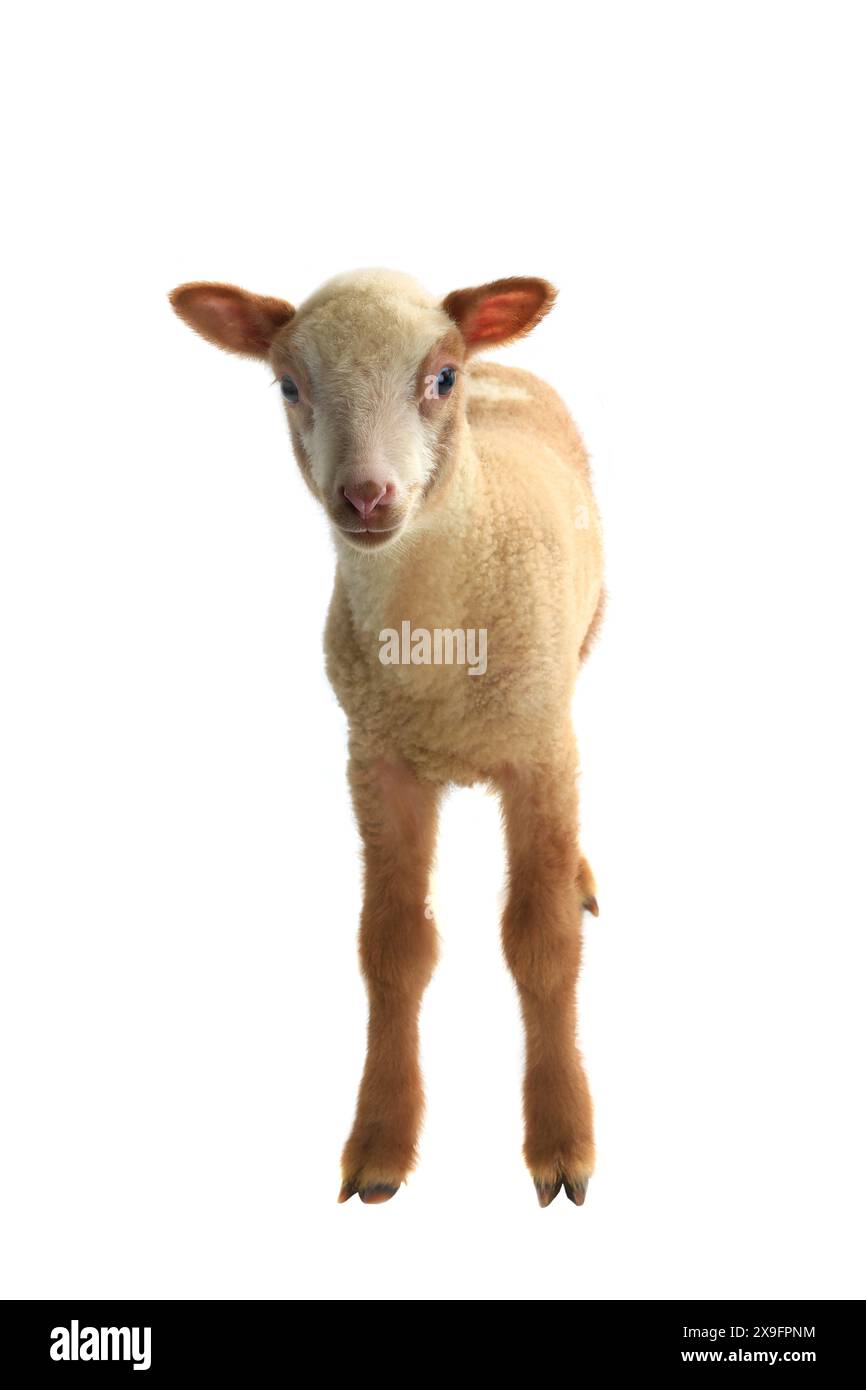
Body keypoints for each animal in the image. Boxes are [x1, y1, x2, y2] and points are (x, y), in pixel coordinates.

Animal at [169, 270, 605, 1207]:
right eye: (288, 385)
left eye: (440, 378)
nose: (366, 497)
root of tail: (506, 369)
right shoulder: (377, 761)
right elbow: (392, 948)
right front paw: (380, 1140)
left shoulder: (537, 750)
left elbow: (544, 942)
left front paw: (561, 1136)